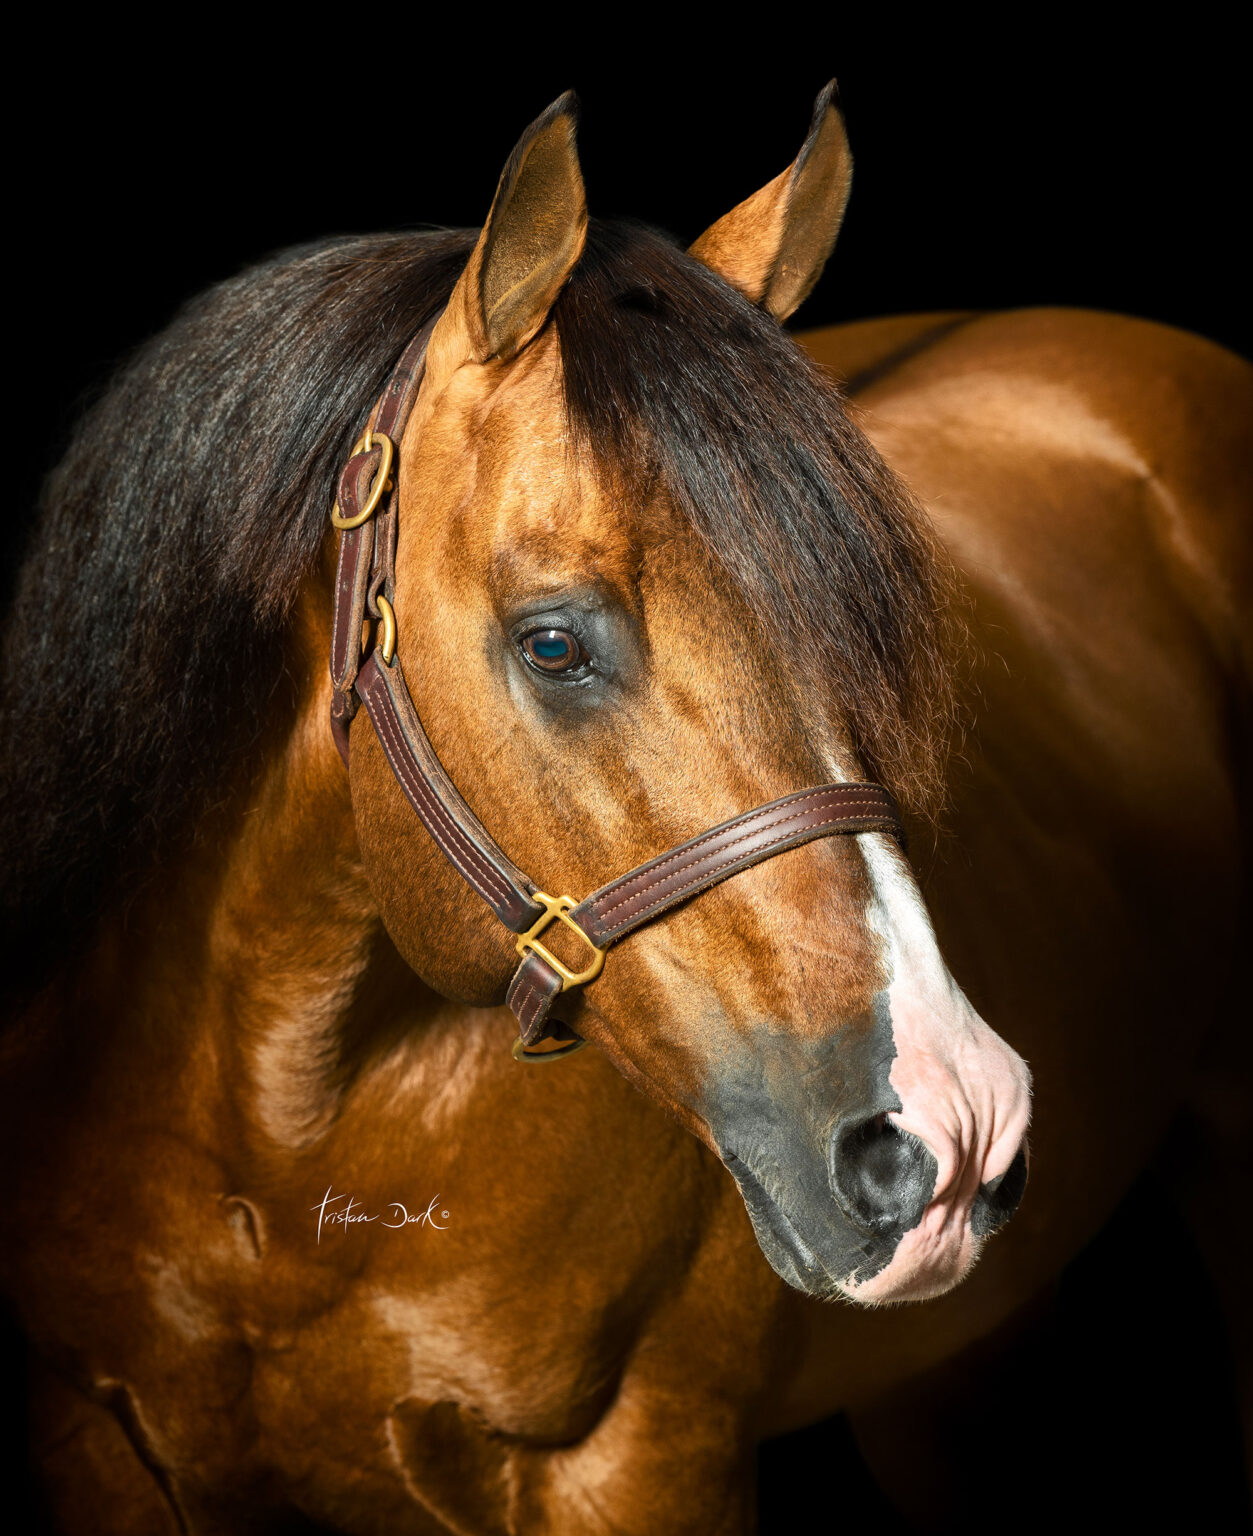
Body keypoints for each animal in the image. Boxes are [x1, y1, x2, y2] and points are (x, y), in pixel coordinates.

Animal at [2, 84, 1249, 1533]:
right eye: (553, 644)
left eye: (864, 630)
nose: (951, 1127)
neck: (278, 1146)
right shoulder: (90, 1445)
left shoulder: (639, 1464)